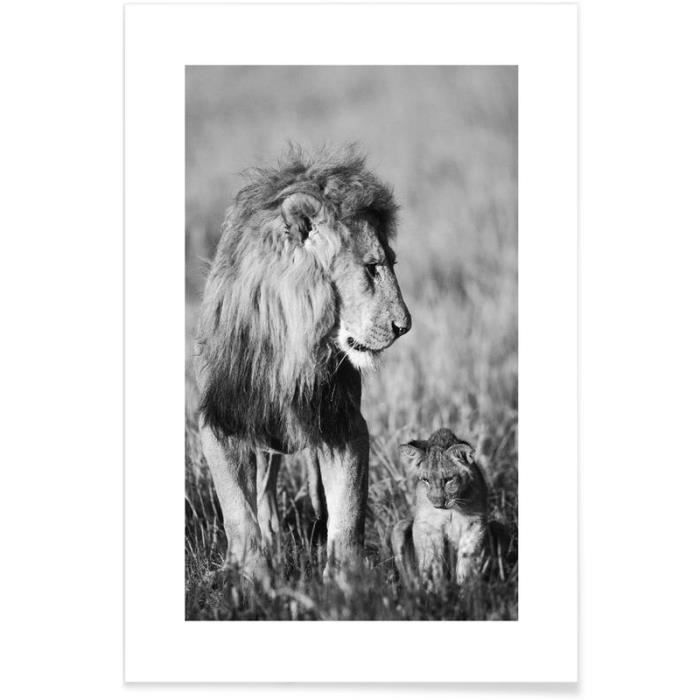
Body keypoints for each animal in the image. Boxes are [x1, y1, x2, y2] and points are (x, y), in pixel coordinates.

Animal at [194, 148, 411, 581]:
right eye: (372, 267)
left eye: (390, 264)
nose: (404, 326)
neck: (295, 349)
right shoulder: (221, 418)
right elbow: (237, 512)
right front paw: (254, 577)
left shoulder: (344, 424)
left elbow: (347, 515)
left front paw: (345, 584)